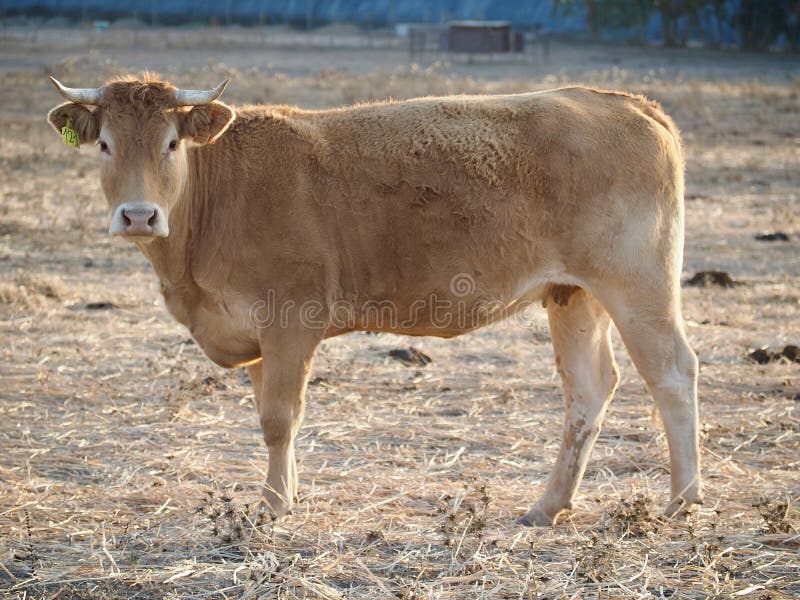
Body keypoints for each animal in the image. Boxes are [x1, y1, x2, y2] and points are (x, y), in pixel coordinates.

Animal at [47, 74, 702, 526]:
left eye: (171, 144)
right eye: (104, 145)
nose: (138, 216)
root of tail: (623, 102)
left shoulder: (291, 321)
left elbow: (279, 418)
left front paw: (273, 508)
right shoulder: (256, 335)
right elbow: (270, 418)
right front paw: (286, 494)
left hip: (637, 287)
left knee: (672, 374)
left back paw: (682, 502)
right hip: (575, 295)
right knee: (588, 390)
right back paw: (547, 508)